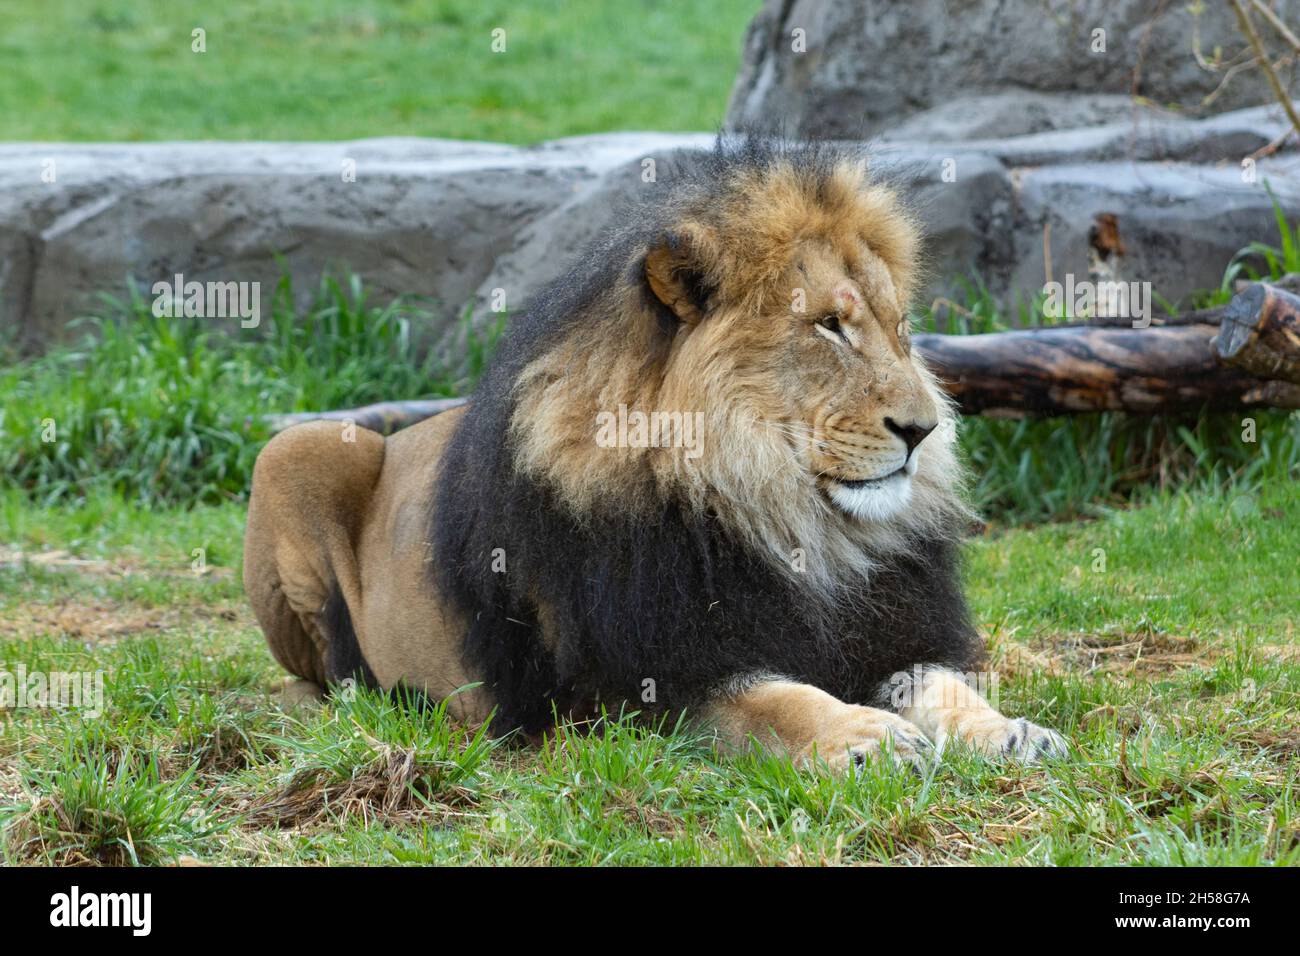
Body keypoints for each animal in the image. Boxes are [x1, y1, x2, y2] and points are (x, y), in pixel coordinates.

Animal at [243, 139, 1067, 772]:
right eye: (829, 326)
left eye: (900, 330)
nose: (924, 430)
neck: (786, 517)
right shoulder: (630, 687)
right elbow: (775, 700)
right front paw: (862, 735)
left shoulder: (894, 630)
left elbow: (942, 684)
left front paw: (1010, 732)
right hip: (298, 444)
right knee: (318, 677)